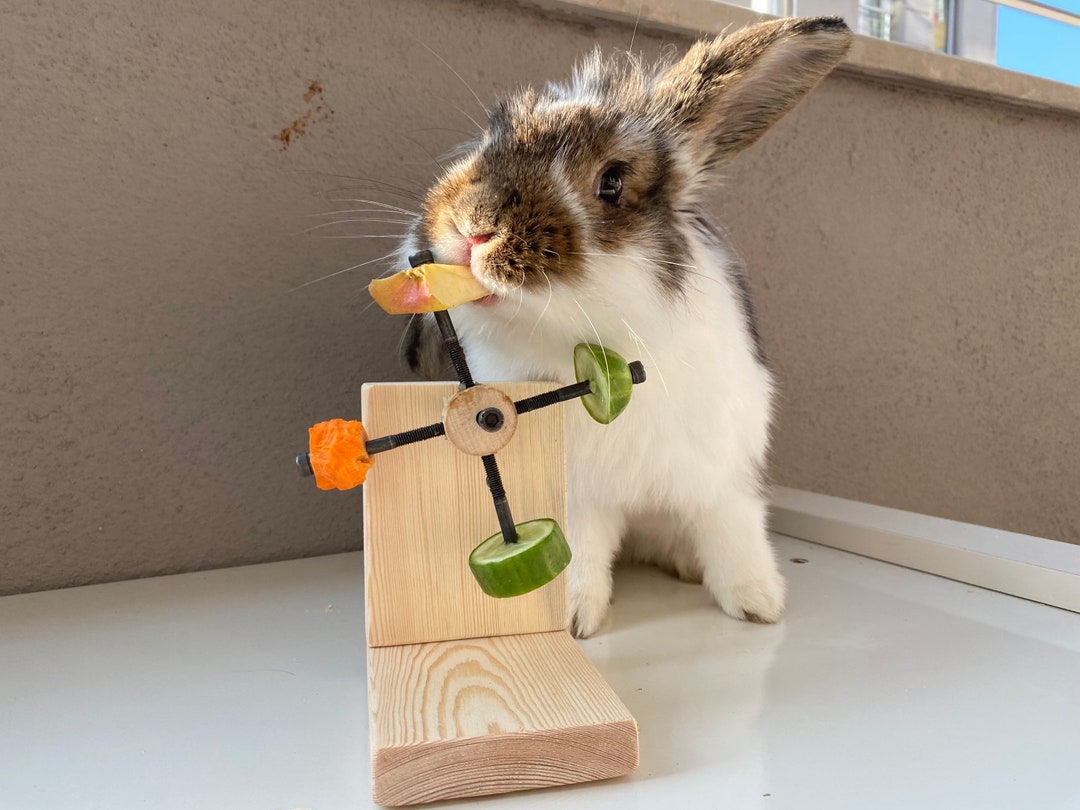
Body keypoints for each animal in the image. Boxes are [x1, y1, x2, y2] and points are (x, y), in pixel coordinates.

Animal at [395, 16, 853, 638]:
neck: (599, 337)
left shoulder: (725, 479)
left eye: (612, 181)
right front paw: (574, 621)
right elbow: (583, 554)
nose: (472, 230)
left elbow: (735, 536)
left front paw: (759, 604)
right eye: (490, 138)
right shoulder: (579, 495)